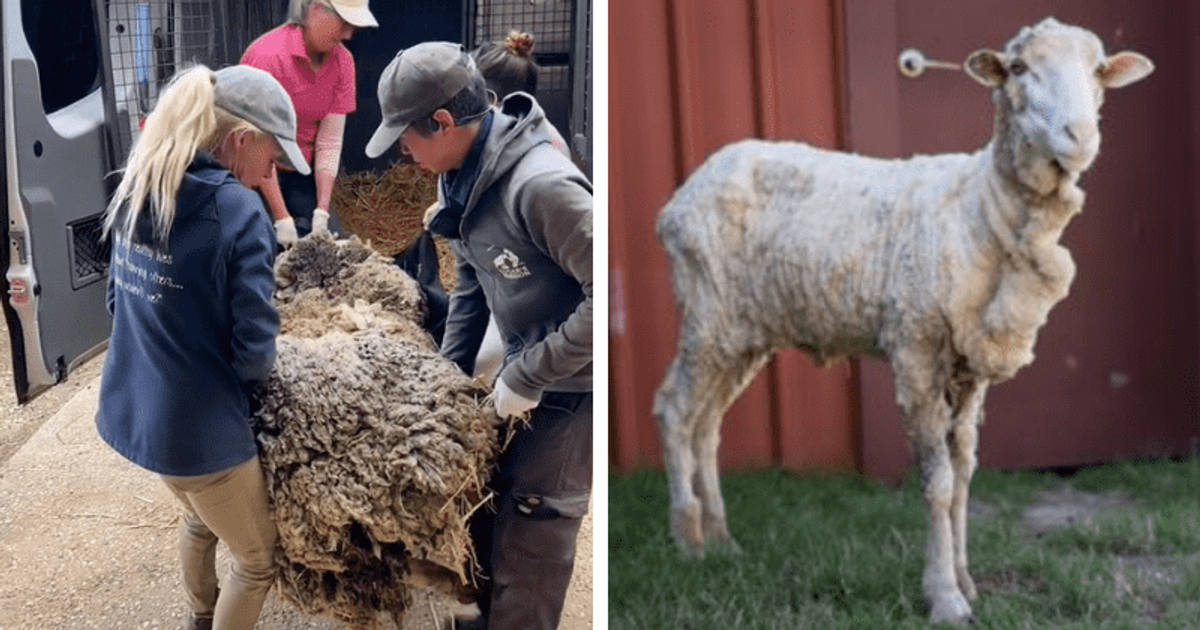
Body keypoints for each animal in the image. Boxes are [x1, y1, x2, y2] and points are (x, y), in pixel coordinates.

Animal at [652, 17, 1153, 625]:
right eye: (1017, 68)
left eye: (1099, 71)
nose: (1079, 136)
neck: (981, 214)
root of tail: (684, 192)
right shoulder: (916, 348)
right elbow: (937, 483)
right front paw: (945, 597)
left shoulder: (970, 368)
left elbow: (963, 478)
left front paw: (967, 580)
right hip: (707, 313)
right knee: (675, 410)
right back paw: (689, 542)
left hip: (742, 330)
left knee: (707, 425)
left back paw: (723, 540)